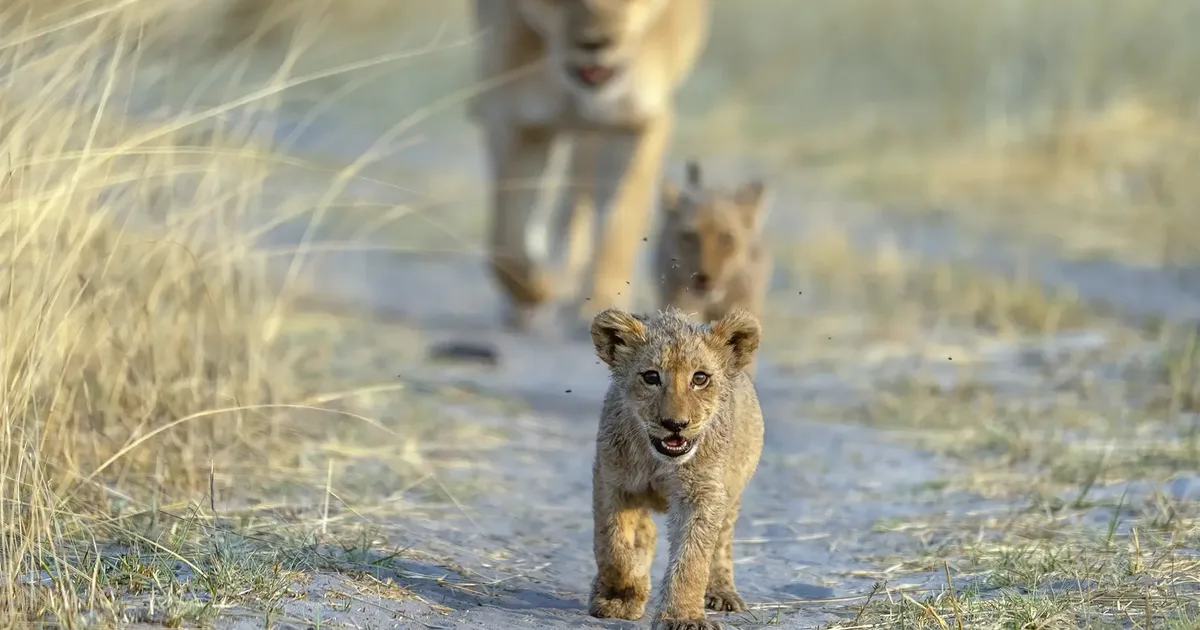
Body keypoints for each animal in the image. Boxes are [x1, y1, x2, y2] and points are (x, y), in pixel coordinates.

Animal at [468, 0, 712, 333]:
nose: (595, 44)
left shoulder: (636, 122)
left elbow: (617, 224)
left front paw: (599, 302)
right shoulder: (516, 118)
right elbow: (508, 239)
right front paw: (538, 292)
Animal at [588, 306, 765, 630]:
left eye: (700, 378)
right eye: (651, 377)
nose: (675, 424)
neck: (658, 461)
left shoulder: (703, 493)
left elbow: (693, 558)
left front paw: (683, 617)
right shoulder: (612, 481)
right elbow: (612, 544)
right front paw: (621, 596)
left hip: (732, 491)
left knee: (722, 543)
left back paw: (722, 593)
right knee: (643, 533)